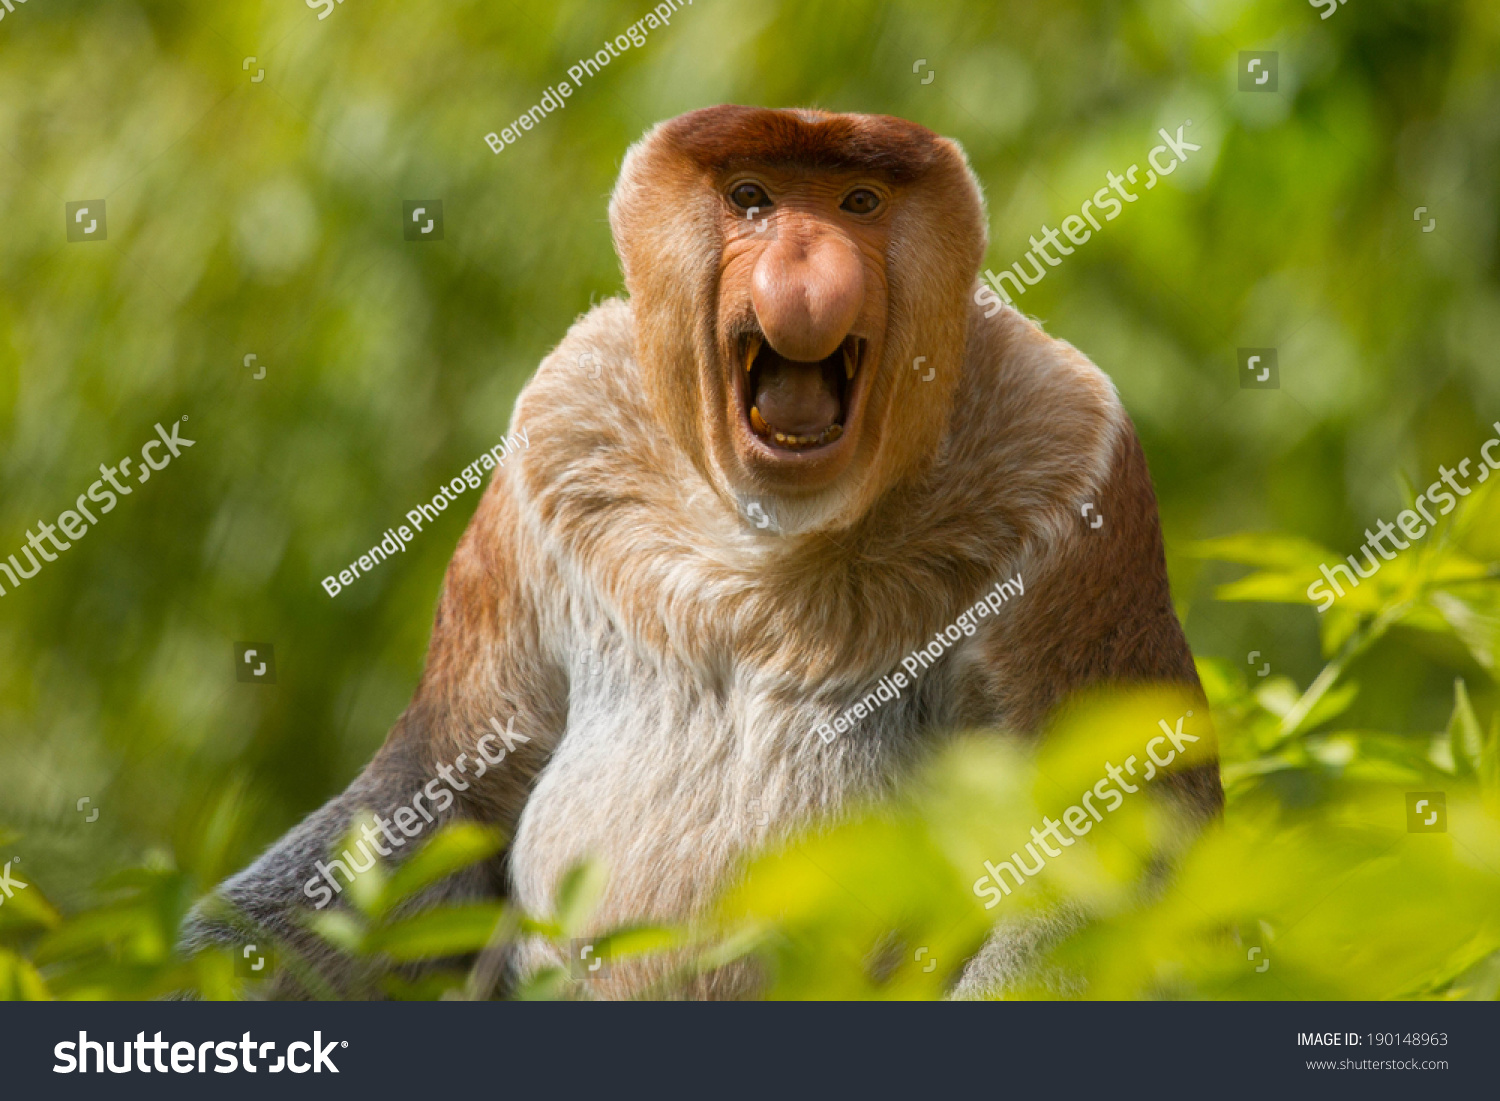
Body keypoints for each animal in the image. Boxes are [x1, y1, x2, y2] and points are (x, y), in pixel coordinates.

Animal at [183, 105, 1220, 999]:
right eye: (752, 196)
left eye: (859, 203)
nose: (804, 265)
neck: (771, 533)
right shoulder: (553, 430)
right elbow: (442, 791)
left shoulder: (1077, 470)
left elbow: (1120, 847)